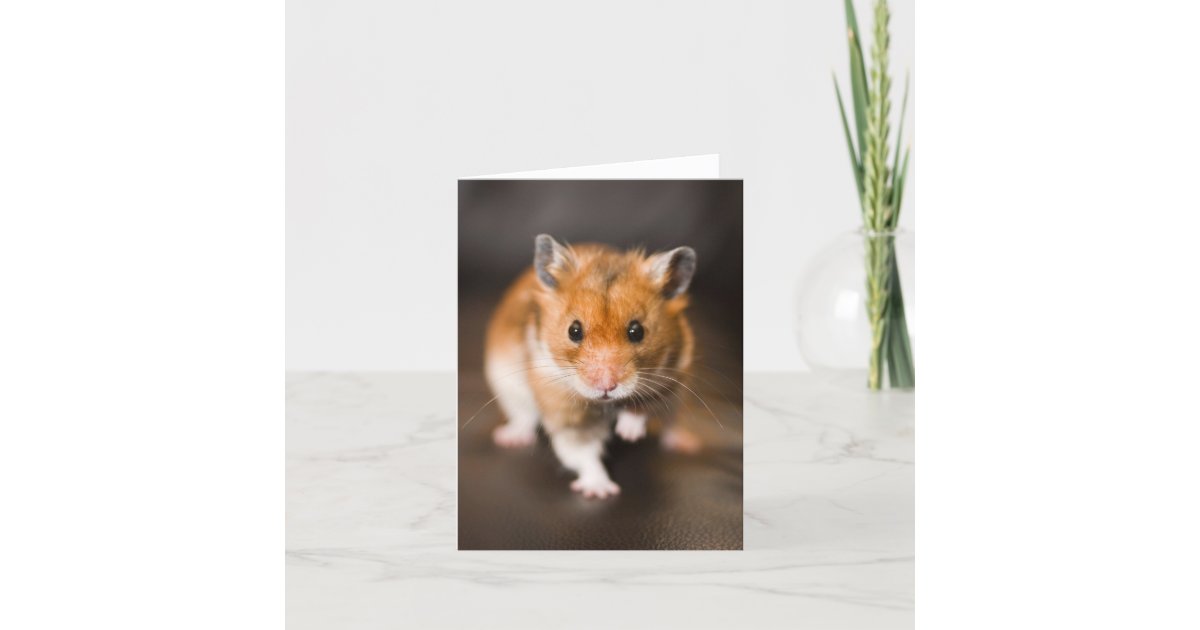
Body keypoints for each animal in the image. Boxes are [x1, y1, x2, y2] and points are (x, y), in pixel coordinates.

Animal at [484, 234, 698, 499]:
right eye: (573, 330)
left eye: (637, 331)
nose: (606, 386)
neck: (606, 404)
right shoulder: (565, 412)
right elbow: (582, 453)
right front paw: (601, 492)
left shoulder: (671, 377)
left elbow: (644, 406)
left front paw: (629, 434)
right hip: (509, 389)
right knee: (522, 417)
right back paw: (508, 438)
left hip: (677, 398)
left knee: (670, 422)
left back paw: (687, 443)